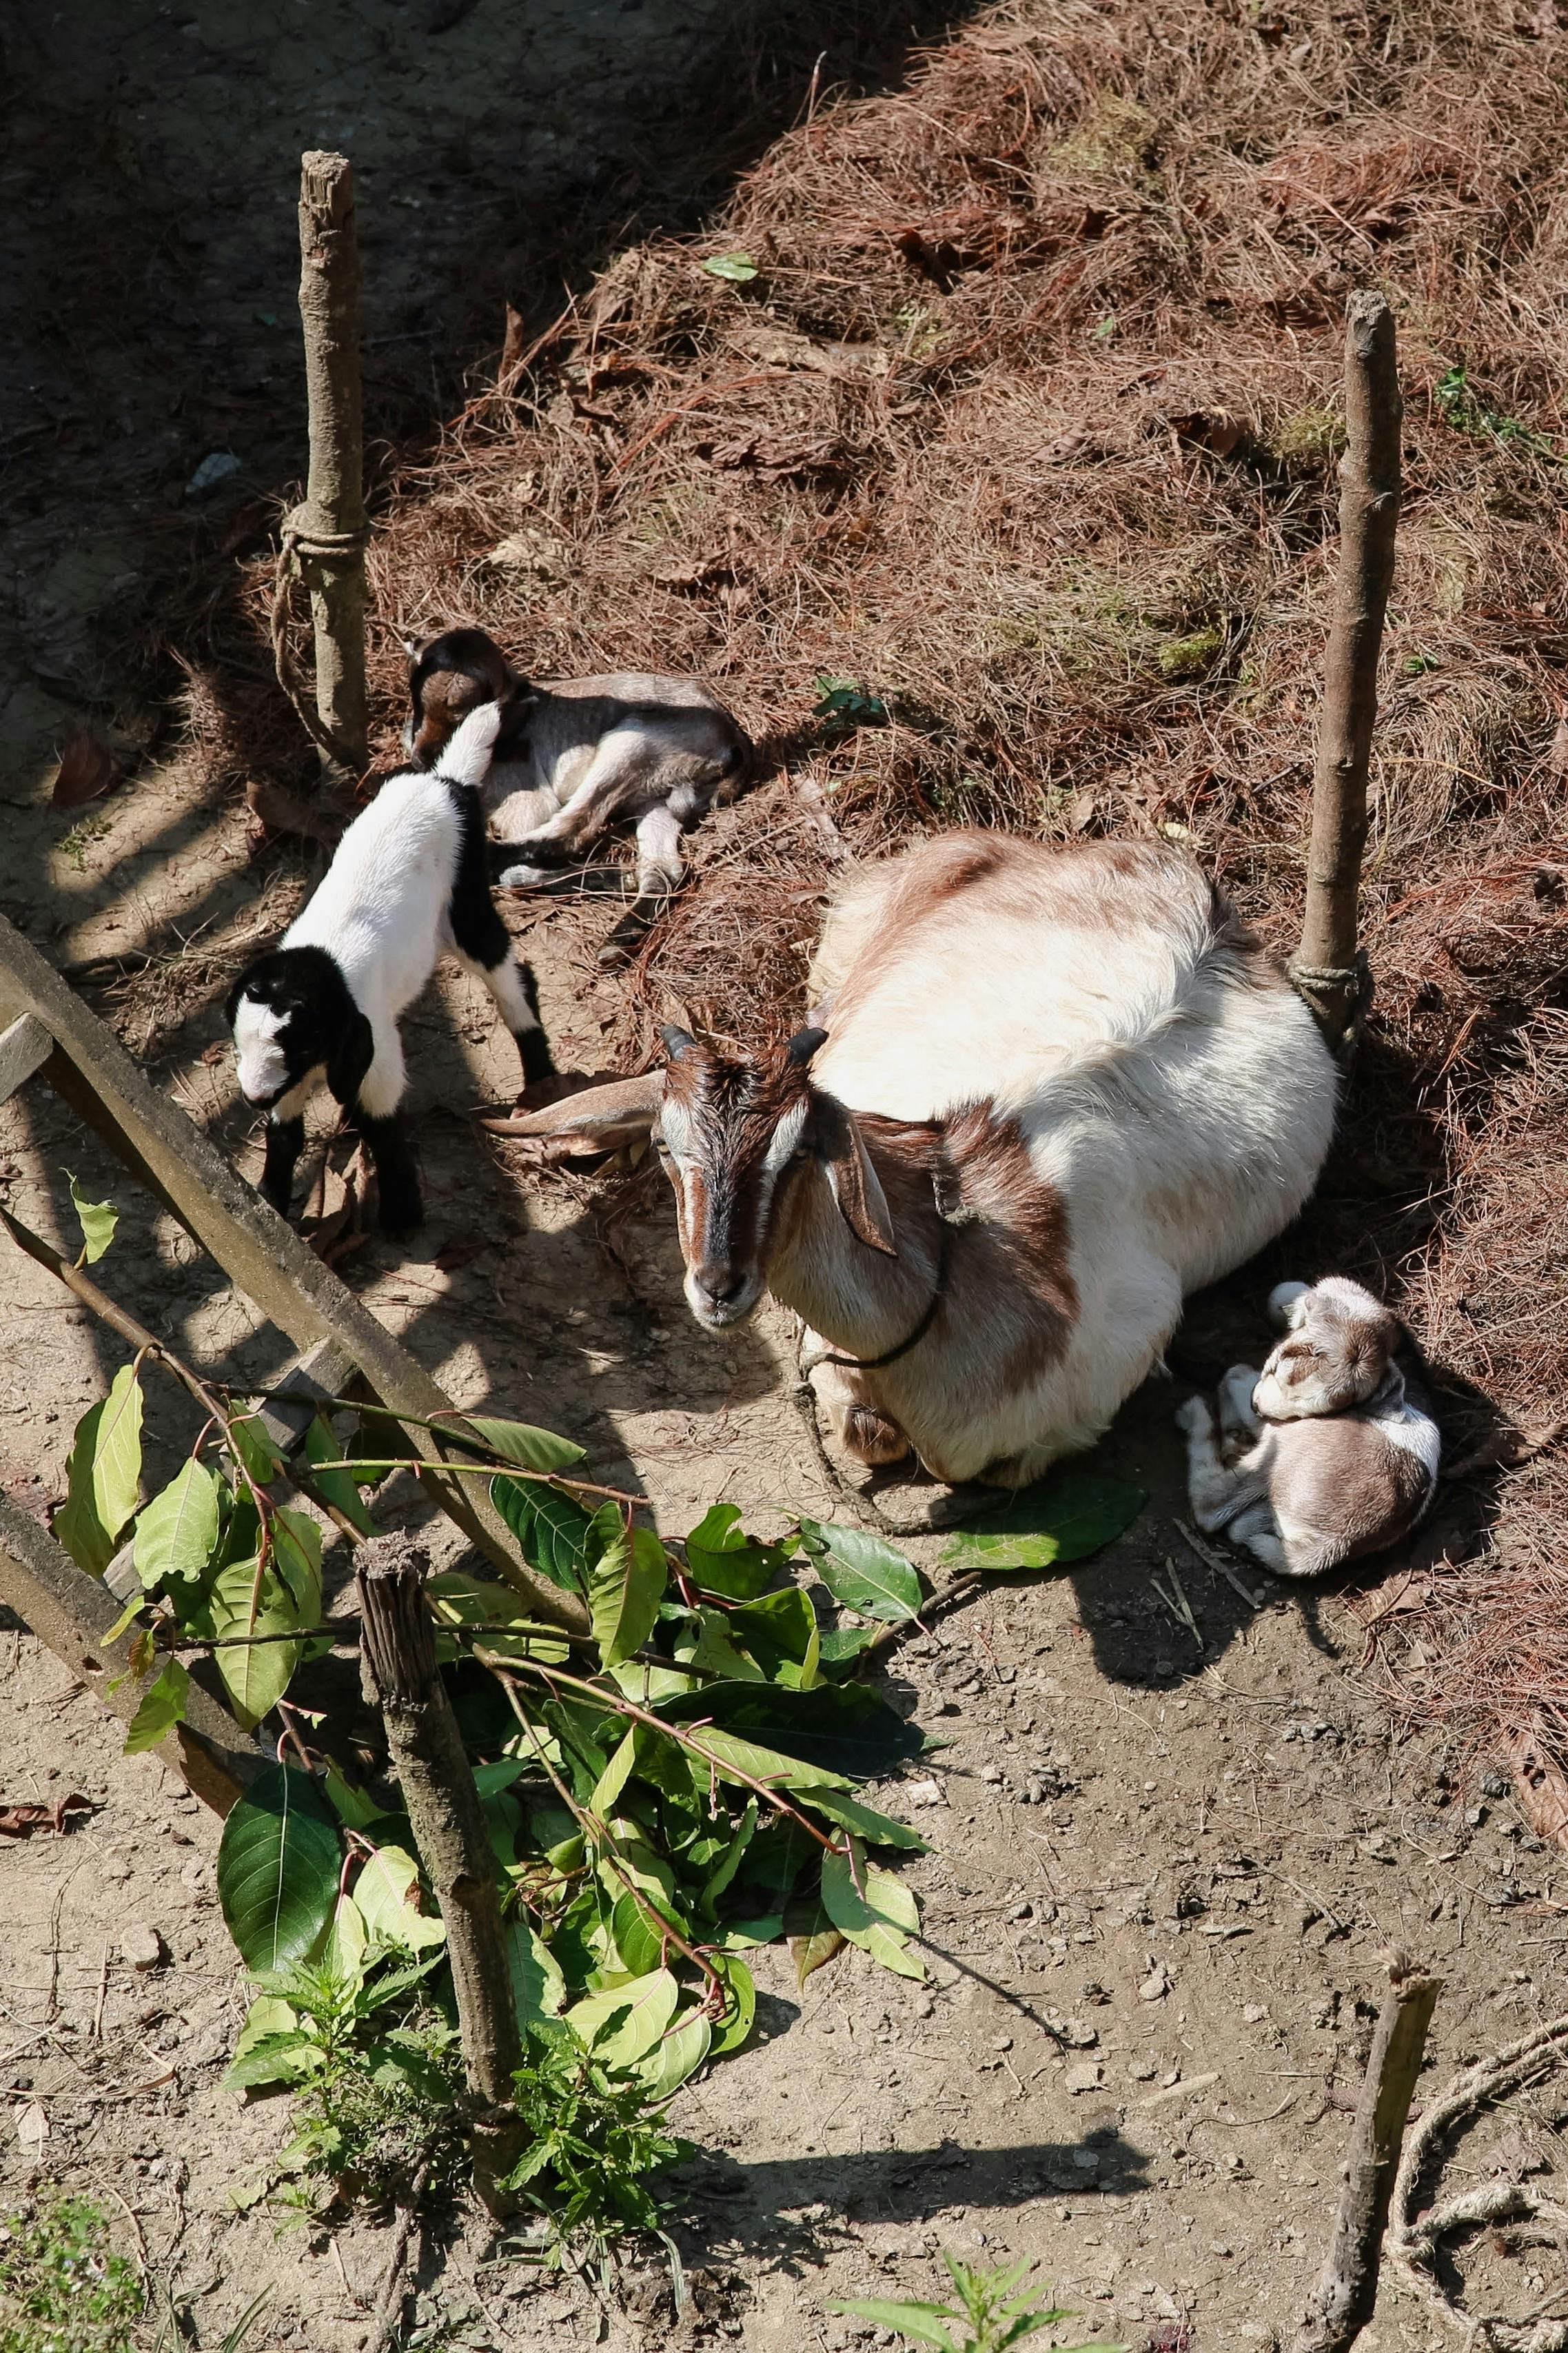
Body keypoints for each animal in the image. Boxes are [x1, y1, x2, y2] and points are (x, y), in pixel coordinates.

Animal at [226, 701, 554, 1234]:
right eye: (238, 1042)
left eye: (302, 1044)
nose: (253, 1099)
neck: (322, 965)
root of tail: (446, 781)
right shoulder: (288, 1076)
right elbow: (285, 1132)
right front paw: (270, 1204)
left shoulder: (368, 1045)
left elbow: (381, 1124)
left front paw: (402, 1215)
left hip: (465, 897)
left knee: (504, 970)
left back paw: (542, 1081)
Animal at [404, 627, 752, 909]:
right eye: (418, 700)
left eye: (464, 714)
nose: (422, 758)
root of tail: (733, 736)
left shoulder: (527, 801)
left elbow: (517, 869)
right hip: (656, 795)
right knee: (662, 871)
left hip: (632, 743)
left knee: (573, 829)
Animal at [1176, 1276, 1440, 1577]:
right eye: (1279, 1365)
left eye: (1313, 1410)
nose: (1257, 1407)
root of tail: (1335, 1543)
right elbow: (1285, 1293)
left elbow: (1233, 1375)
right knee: (1239, 1527)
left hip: (1279, 1455)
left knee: (1210, 1504)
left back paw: (1196, 1416)